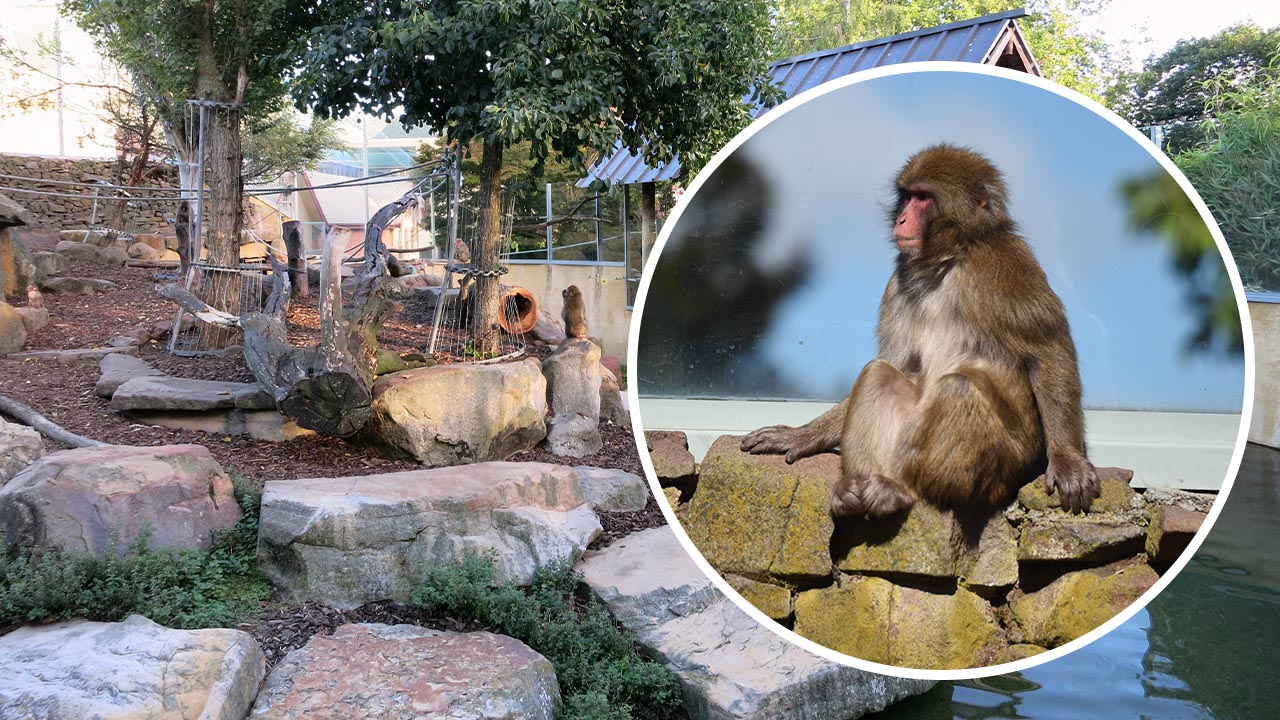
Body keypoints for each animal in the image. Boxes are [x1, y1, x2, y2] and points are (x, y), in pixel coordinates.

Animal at [740, 145, 1100, 517]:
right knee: (878, 374)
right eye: (907, 196)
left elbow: (1048, 349)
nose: (901, 219)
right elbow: (896, 361)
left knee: (959, 388)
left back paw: (903, 491)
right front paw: (802, 434)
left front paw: (1067, 460)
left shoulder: (1008, 265)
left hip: (1002, 466)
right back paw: (857, 489)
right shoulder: (898, 282)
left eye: (924, 198)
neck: (949, 258)